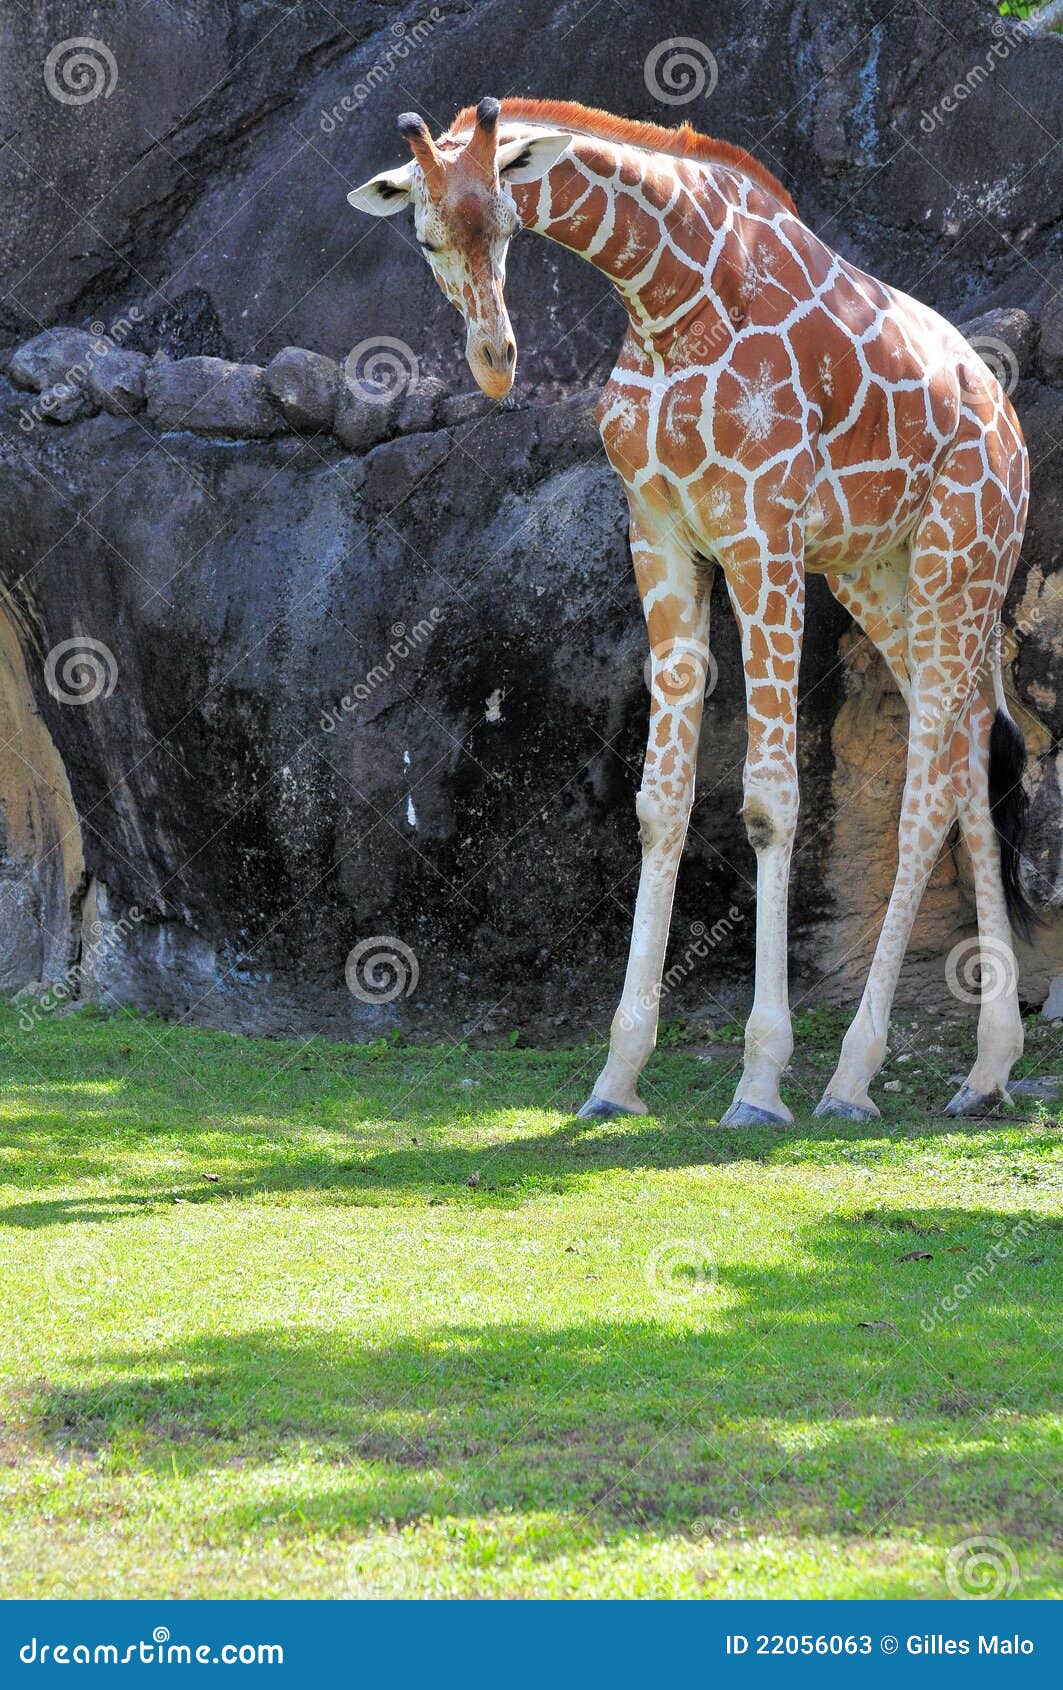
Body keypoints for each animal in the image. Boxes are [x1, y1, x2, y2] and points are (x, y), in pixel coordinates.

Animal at [348, 96, 1034, 1124]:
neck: (665, 299)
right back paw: (986, 1068)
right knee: (963, 765)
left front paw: (759, 1080)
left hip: (962, 561)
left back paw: (851, 1077)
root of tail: (1010, 424)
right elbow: (657, 804)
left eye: (508, 223)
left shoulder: (761, 533)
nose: (496, 362)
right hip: (880, 574)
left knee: (922, 797)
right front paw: (615, 1076)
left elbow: (769, 804)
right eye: (427, 237)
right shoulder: (659, 534)